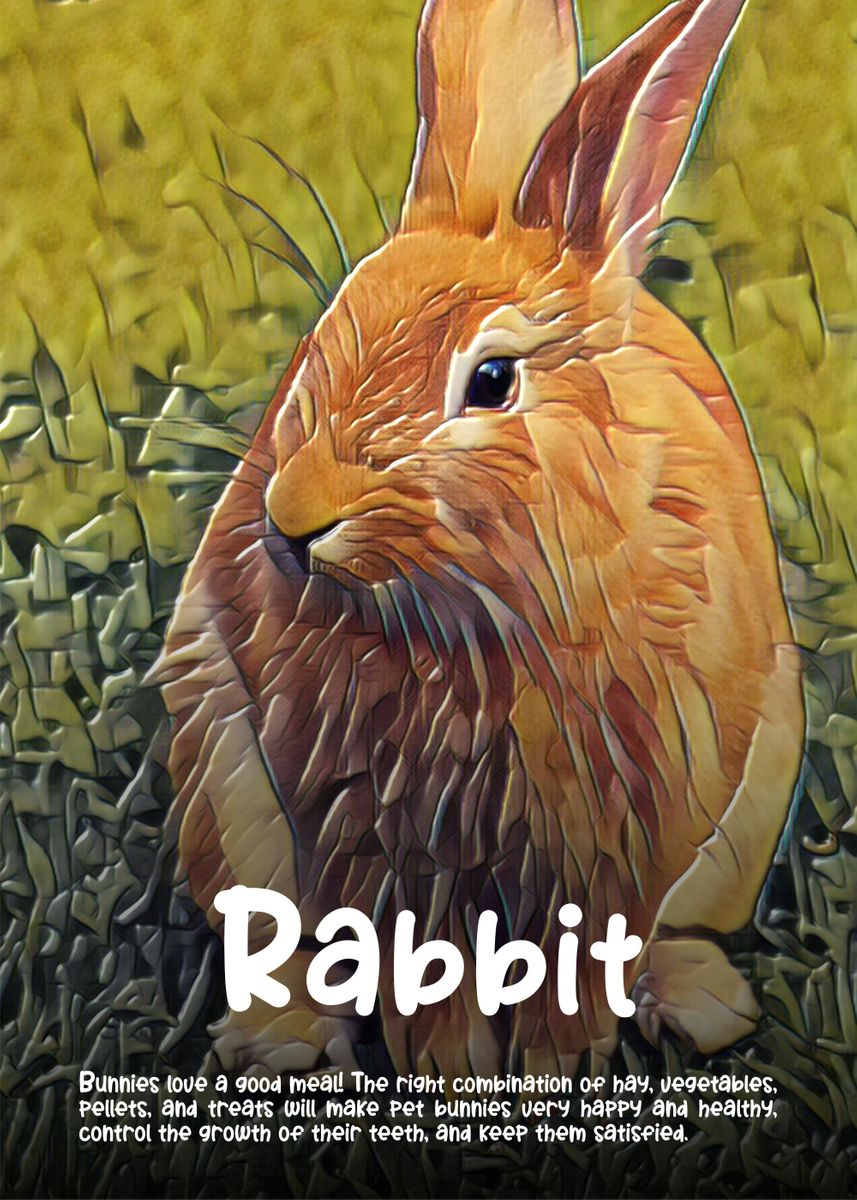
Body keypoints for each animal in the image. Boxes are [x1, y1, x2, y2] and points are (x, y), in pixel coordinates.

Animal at [158, 0, 804, 1082]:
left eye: (492, 382)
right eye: (315, 348)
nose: (289, 521)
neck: (485, 619)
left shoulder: (623, 835)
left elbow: (581, 959)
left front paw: (550, 1074)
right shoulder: (374, 842)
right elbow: (415, 968)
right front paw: (454, 1080)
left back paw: (704, 1007)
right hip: (223, 781)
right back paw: (278, 1046)